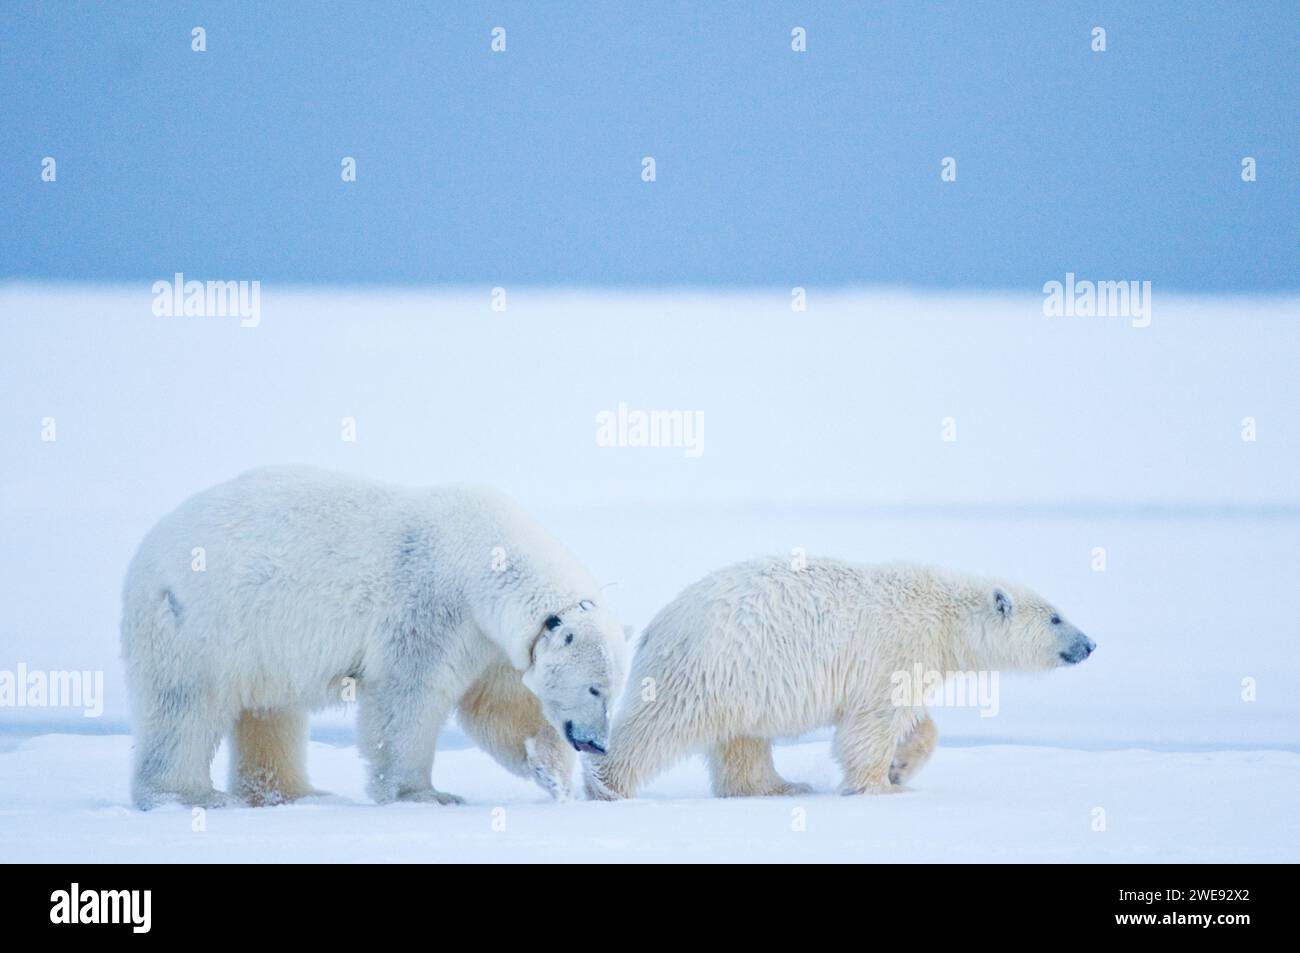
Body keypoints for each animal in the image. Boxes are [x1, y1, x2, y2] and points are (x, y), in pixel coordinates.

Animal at [121, 465, 626, 809]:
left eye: (613, 690)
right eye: (594, 688)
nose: (597, 743)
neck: (482, 554)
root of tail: (144, 554)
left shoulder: (487, 637)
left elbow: (501, 705)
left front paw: (553, 773)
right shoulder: (430, 606)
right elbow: (406, 699)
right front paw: (425, 794)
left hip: (260, 641)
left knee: (270, 711)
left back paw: (298, 793)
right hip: (197, 622)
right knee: (185, 706)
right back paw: (190, 796)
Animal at [584, 556, 1094, 800]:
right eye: (1055, 617)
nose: (1089, 644)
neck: (944, 615)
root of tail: (658, 623)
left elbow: (916, 719)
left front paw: (901, 766)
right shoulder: (894, 649)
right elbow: (872, 724)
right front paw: (883, 785)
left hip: (740, 683)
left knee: (743, 741)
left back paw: (780, 786)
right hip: (712, 664)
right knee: (659, 725)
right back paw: (608, 787)